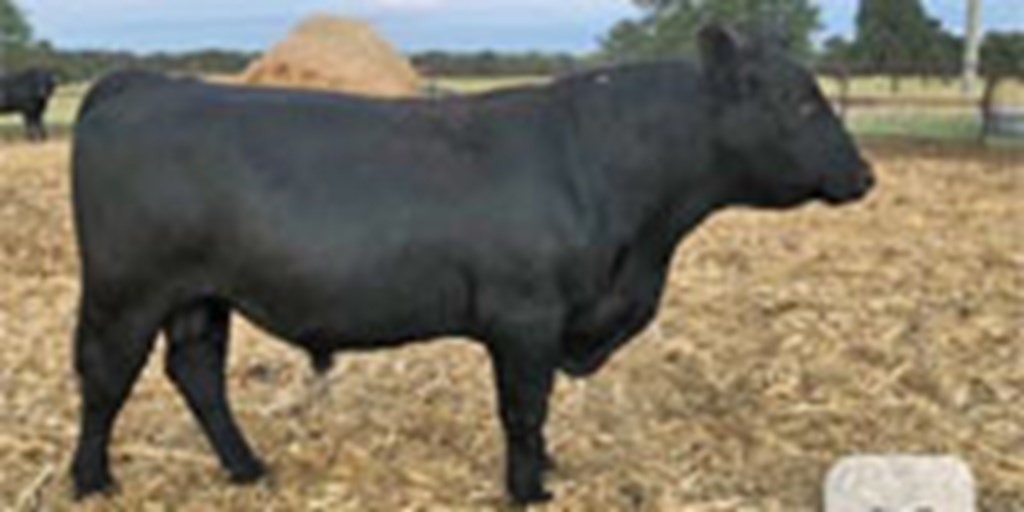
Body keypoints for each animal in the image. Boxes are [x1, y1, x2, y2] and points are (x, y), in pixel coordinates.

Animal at [69, 25, 873, 505]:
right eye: (803, 105)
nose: (864, 175)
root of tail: (145, 83)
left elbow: (536, 410)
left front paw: (545, 468)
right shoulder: (526, 316)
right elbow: (524, 407)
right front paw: (529, 488)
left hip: (200, 295)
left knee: (196, 370)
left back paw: (247, 468)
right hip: (125, 292)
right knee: (104, 380)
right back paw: (91, 480)